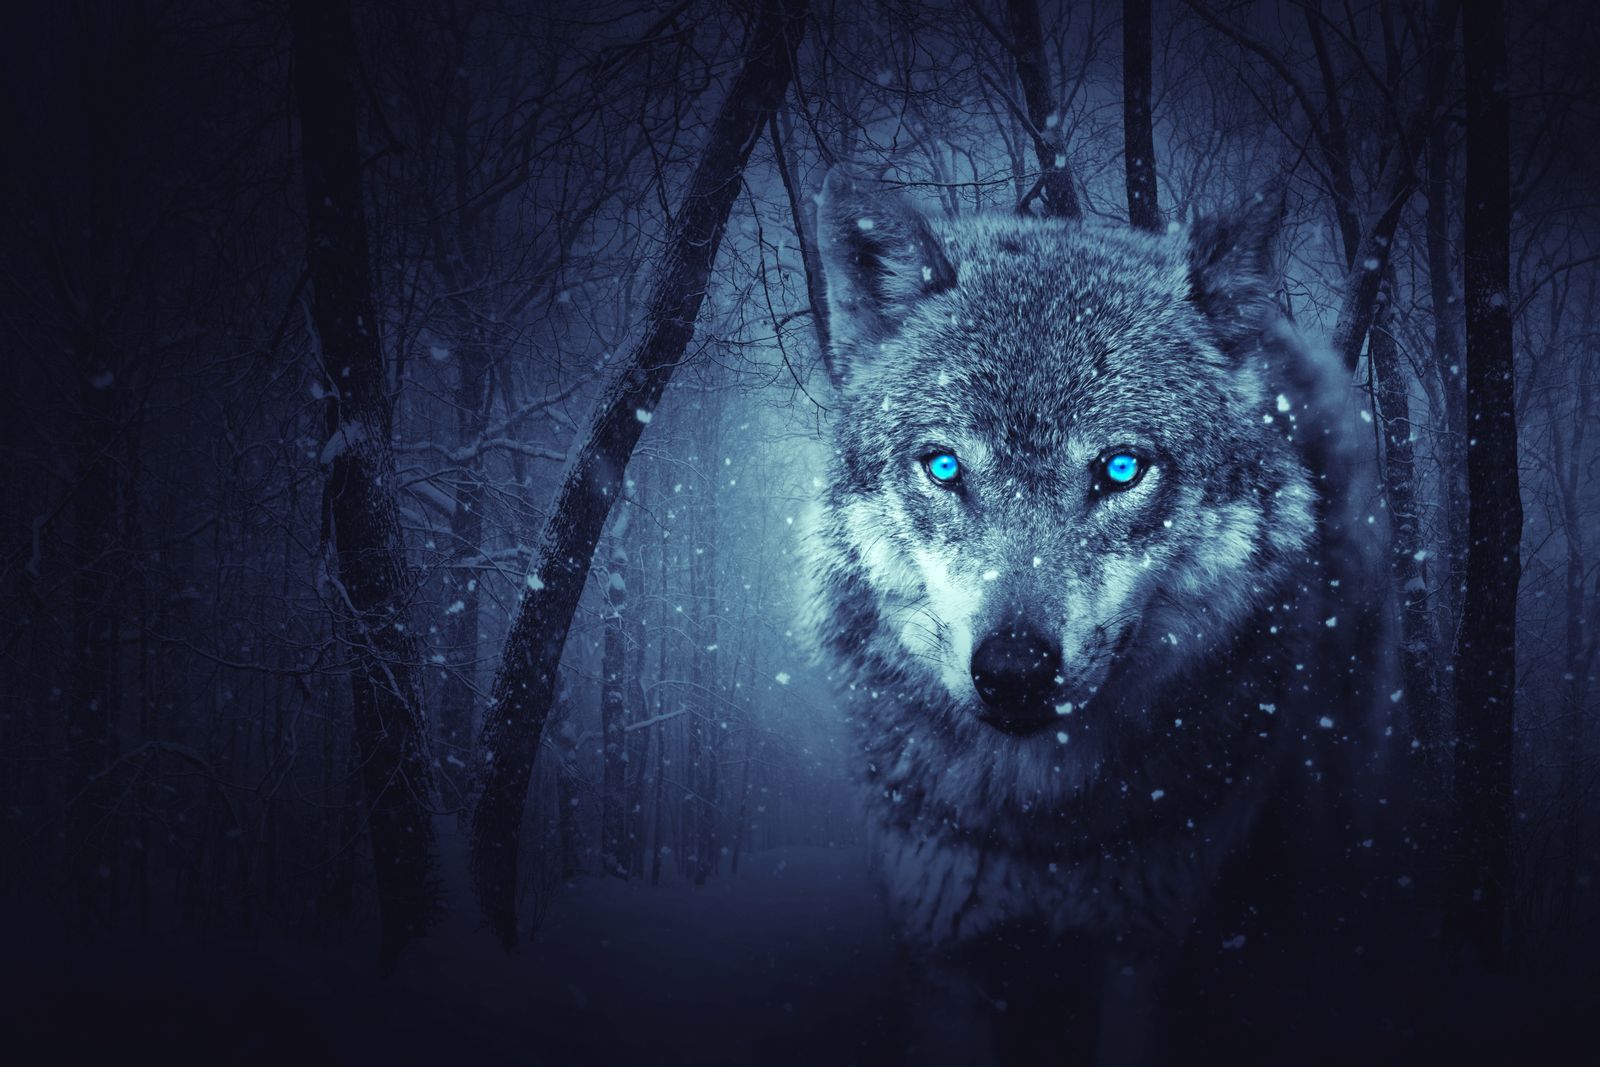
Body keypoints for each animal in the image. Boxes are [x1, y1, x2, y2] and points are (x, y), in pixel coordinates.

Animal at [803, 169, 1389, 1064]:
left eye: (1119, 469)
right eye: (945, 467)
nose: (1013, 670)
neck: (1043, 829)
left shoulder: (1146, 955)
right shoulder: (944, 955)